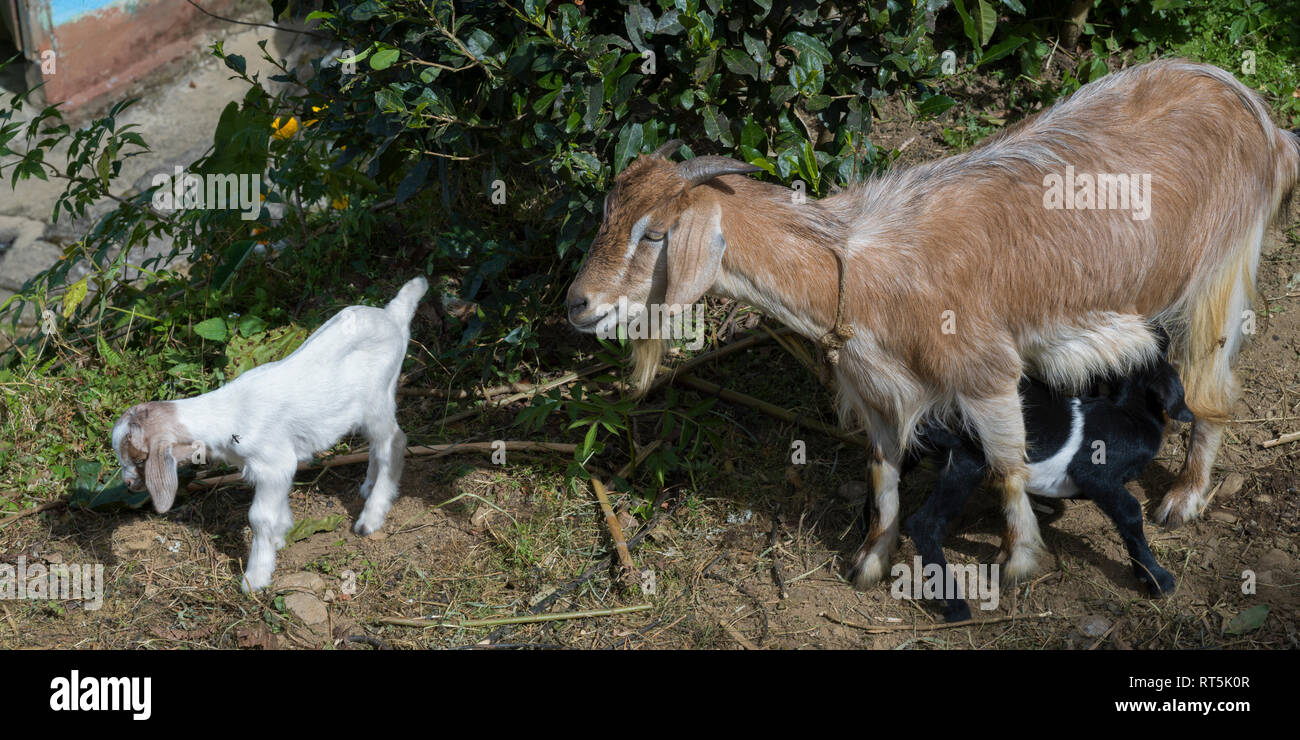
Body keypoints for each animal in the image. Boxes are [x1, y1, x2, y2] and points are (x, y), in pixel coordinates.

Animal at [111, 276, 428, 592]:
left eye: (139, 459)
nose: (128, 484)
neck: (225, 414)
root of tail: (393, 315)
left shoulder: (272, 464)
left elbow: (260, 517)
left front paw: (256, 577)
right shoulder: (275, 469)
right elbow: (278, 507)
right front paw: (280, 535)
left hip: (377, 400)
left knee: (393, 442)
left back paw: (370, 517)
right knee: (377, 445)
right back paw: (368, 486)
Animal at [565, 60, 1300, 590]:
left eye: (654, 234)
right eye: (604, 214)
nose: (578, 304)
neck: (855, 264)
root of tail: (1263, 119)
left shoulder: (986, 374)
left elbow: (1006, 468)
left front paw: (1019, 562)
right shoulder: (876, 390)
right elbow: (884, 477)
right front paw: (869, 562)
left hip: (1220, 268)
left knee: (1212, 386)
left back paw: (1185, 496)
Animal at [906, 343, 1191, 622]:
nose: (1163, 336)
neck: (1129, 412)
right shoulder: (1096, 473)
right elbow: (1130, 511)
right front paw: (1157, 578)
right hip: (966, 462)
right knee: (924, 524)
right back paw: (957, 607)